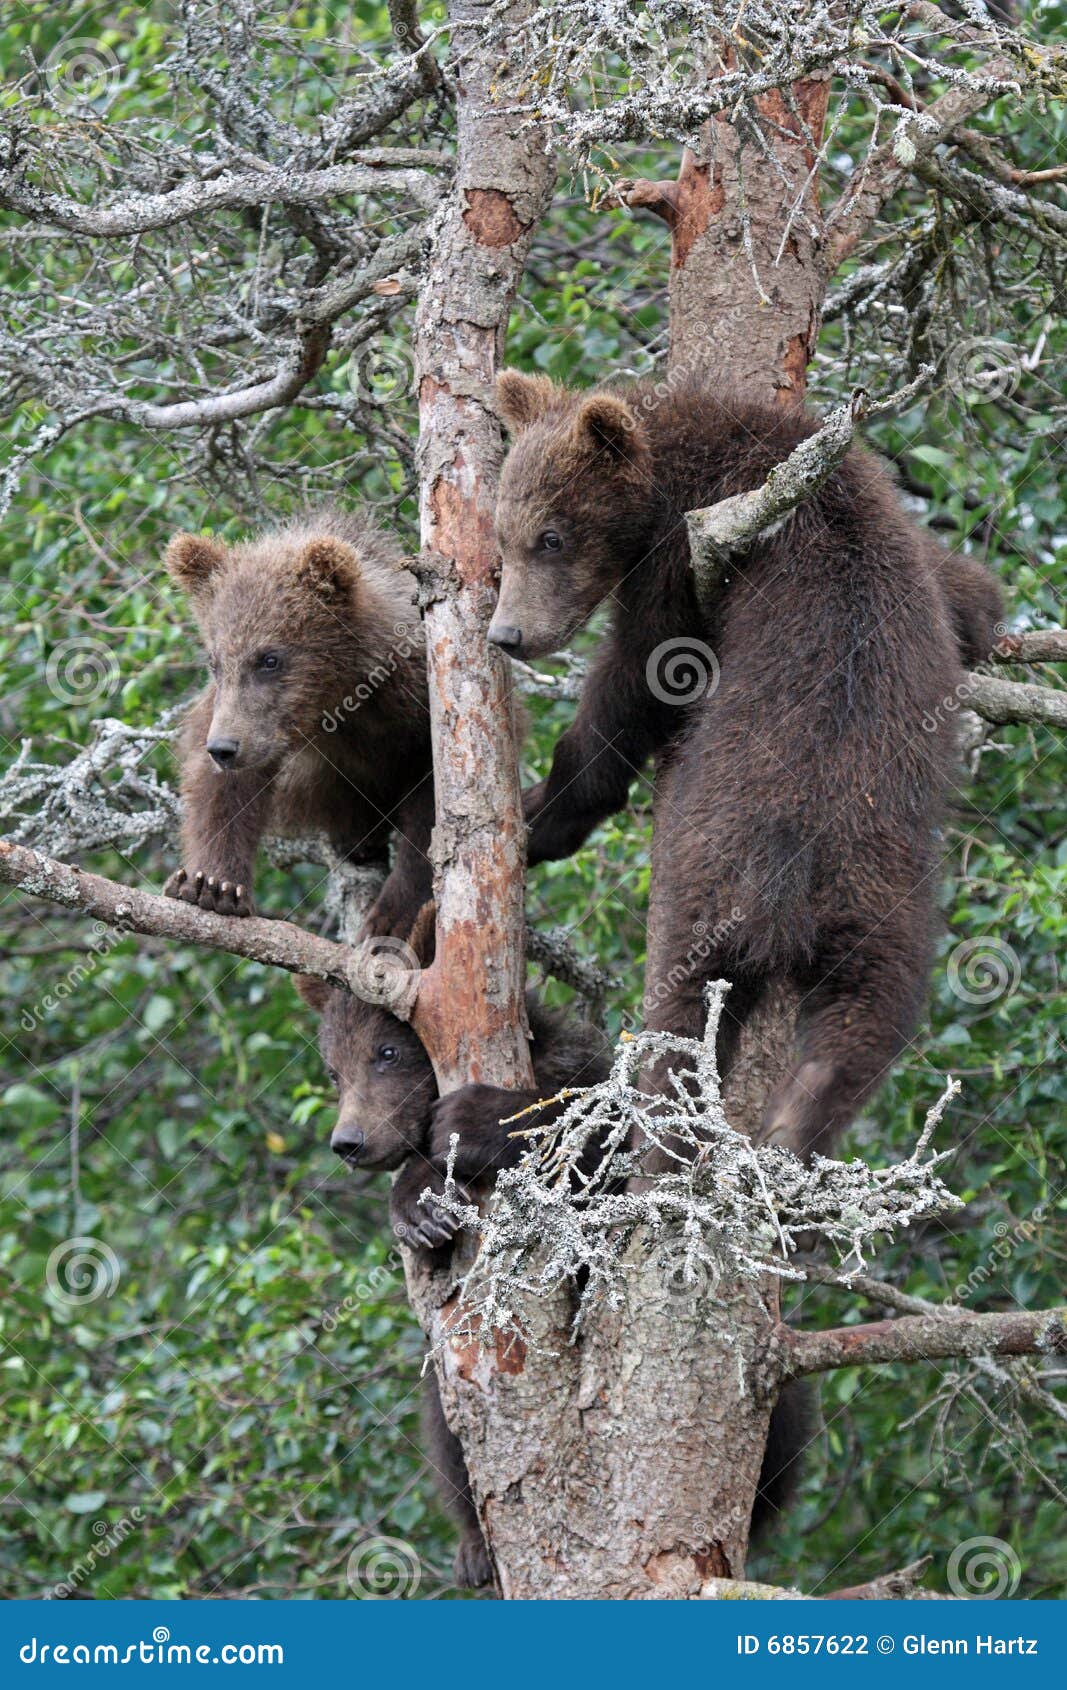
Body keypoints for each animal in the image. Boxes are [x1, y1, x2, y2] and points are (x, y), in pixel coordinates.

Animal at [163, 509, 433, 938]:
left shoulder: (416, 703)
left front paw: (392, 916)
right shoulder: (236, 715)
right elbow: (223, 792)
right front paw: (213, 884)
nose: (223, 748)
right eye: (214, 661)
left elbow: (429, 808)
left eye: (270, 659)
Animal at [488, 371, 1003, 1158]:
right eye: (502, 533)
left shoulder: (687, 552)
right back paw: (795, 1124)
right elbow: (969, 595)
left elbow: (636, 677)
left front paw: (545, 810)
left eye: (551, 536)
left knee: (687, 1001)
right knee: (866, 1015)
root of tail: (800, 885)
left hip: (719, 872)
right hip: (887, 899)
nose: (508, 634)